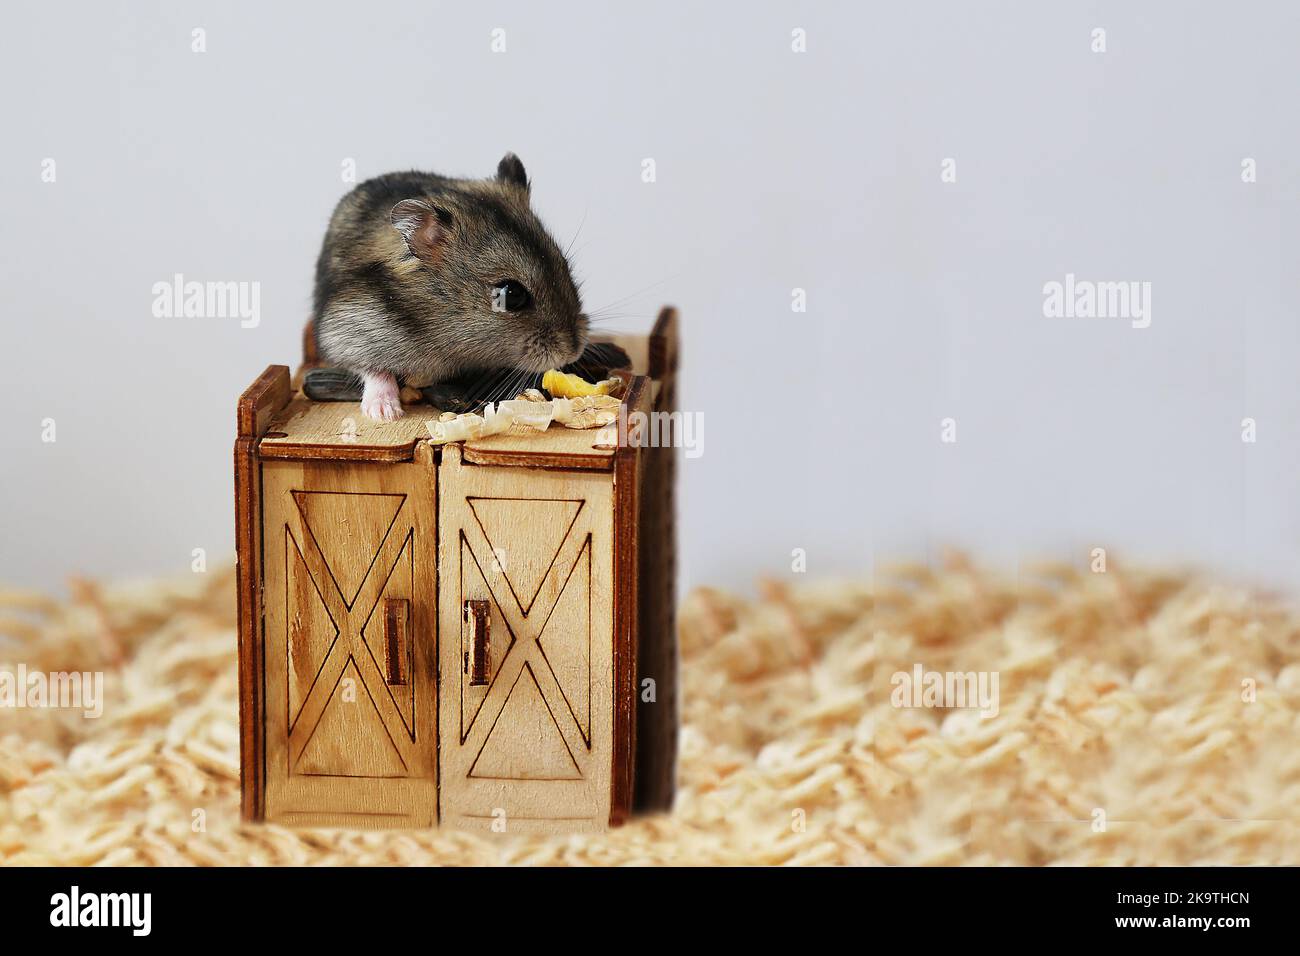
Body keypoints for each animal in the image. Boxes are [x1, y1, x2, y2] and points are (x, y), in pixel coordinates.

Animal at [312, 153, 589, 421]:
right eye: (511, 295)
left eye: (564, 265)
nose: (574, 352)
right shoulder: (347, 327)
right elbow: (373, 369)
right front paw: (386, 414)